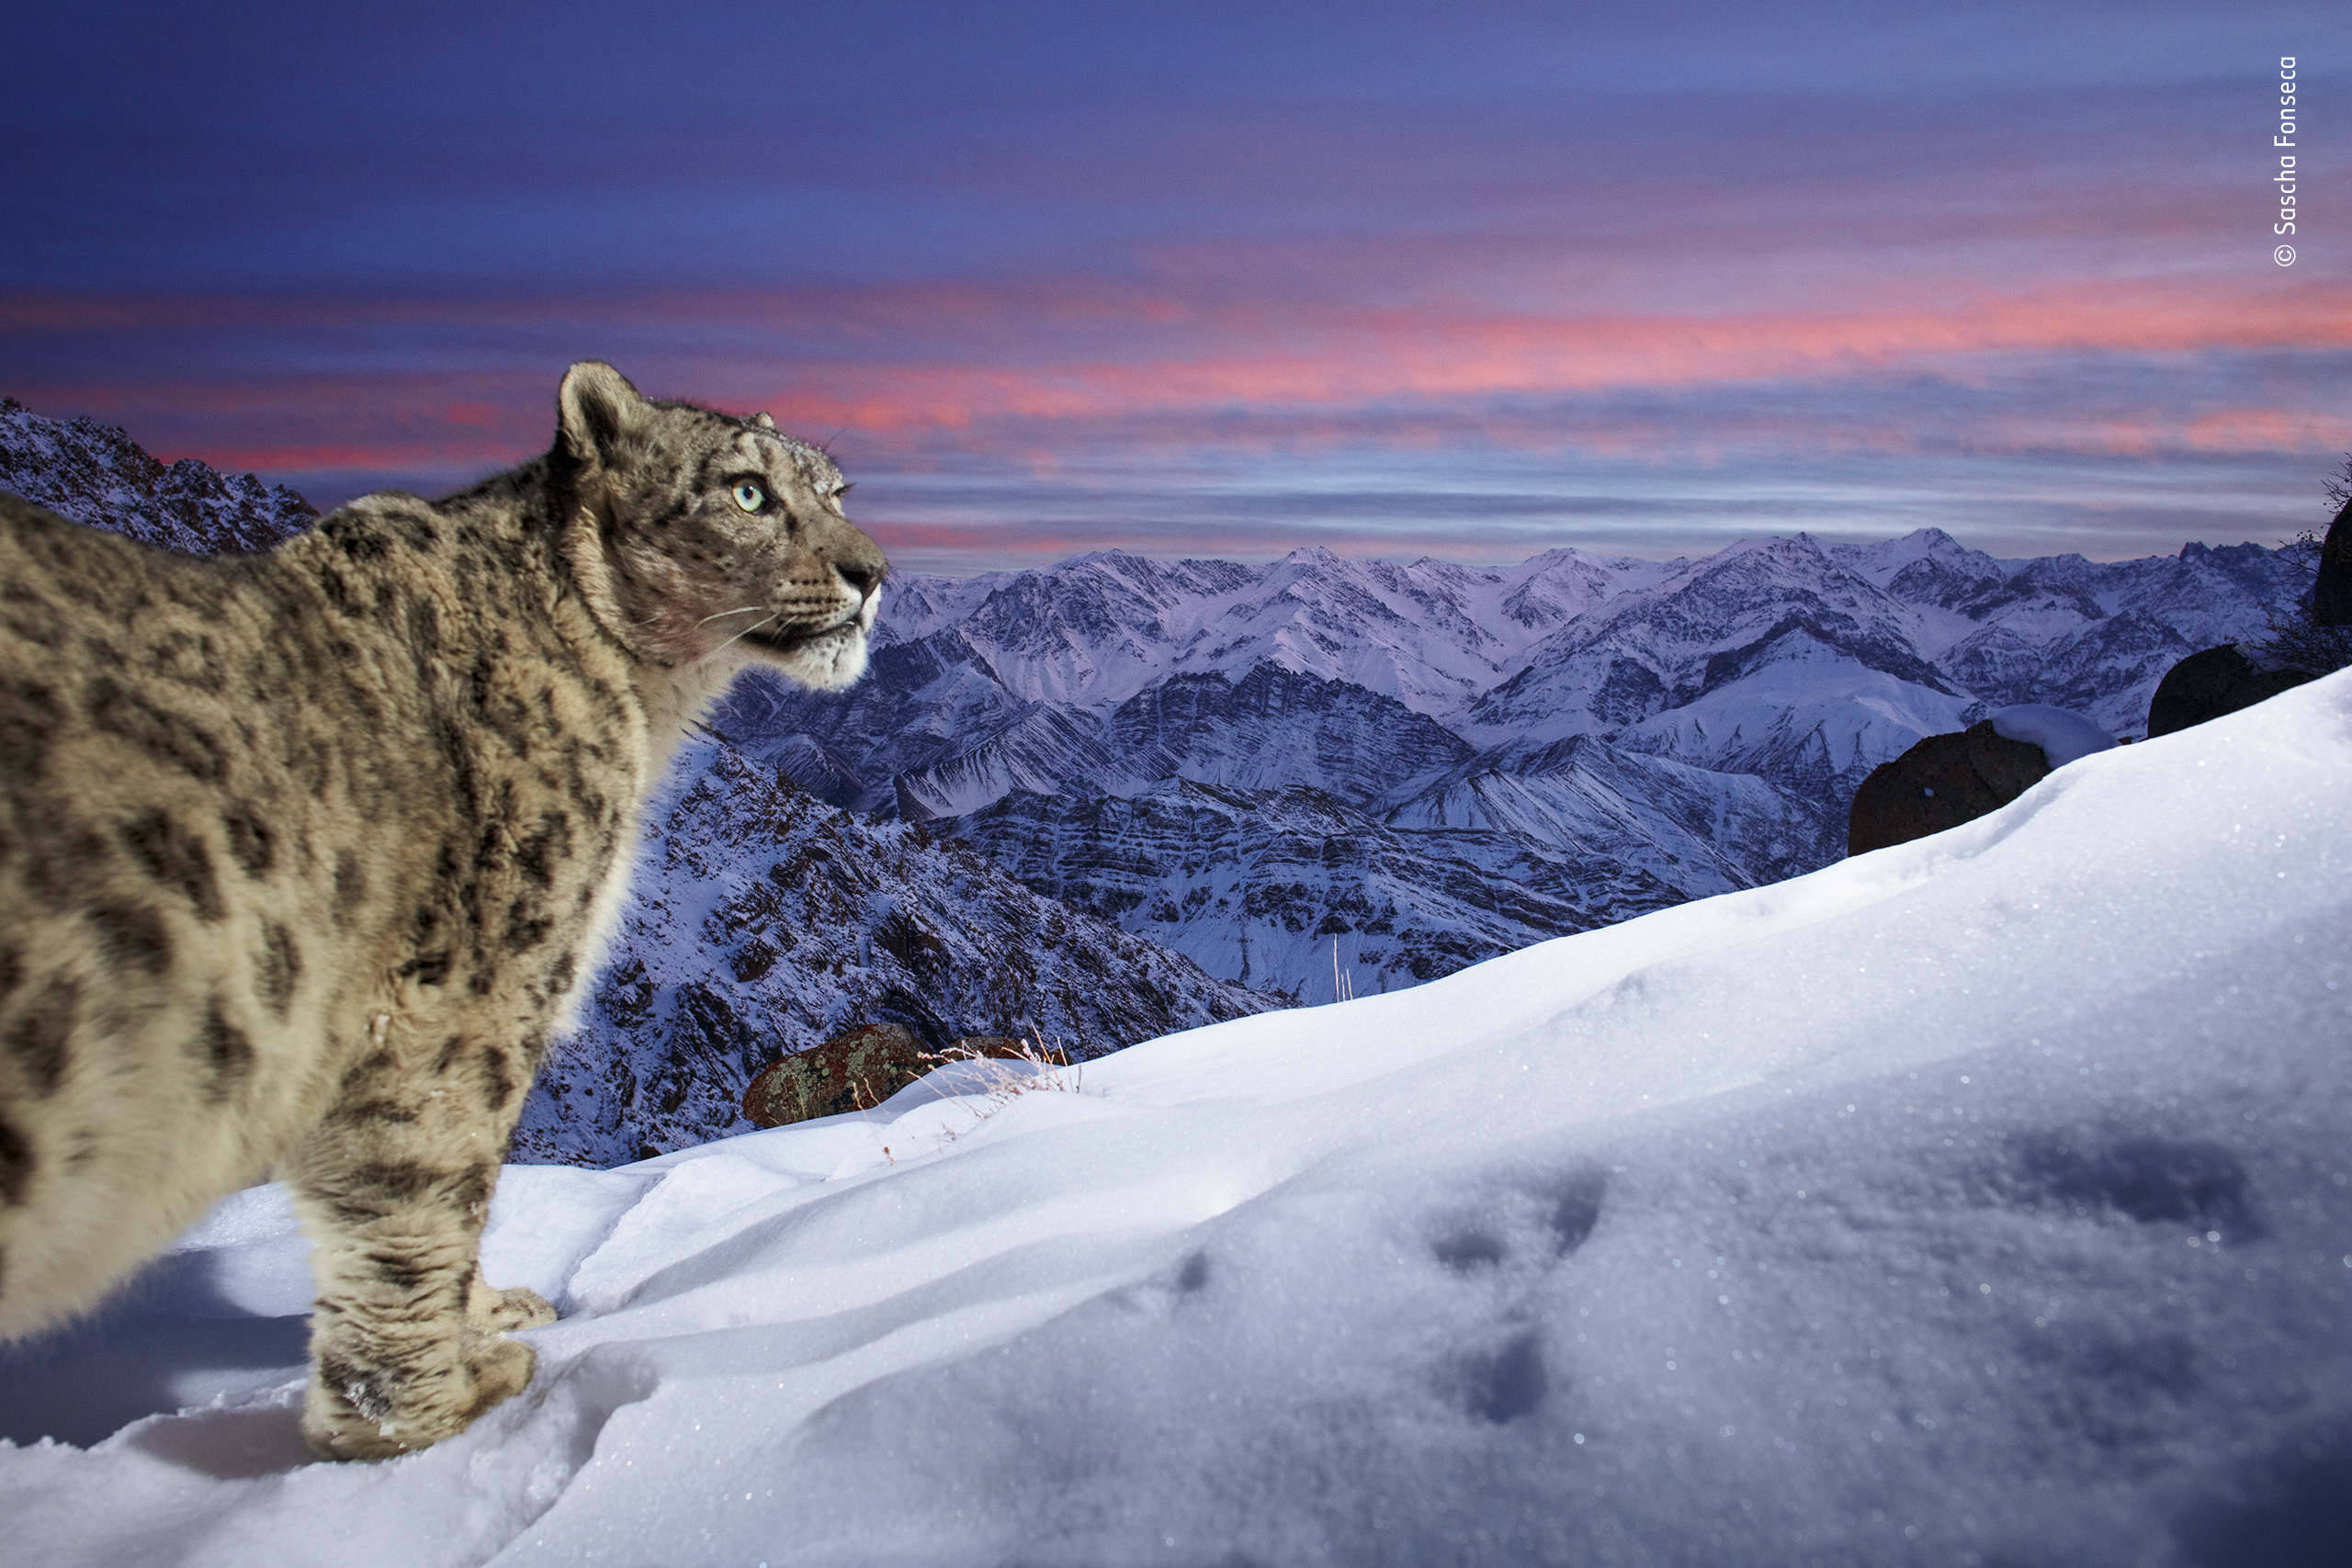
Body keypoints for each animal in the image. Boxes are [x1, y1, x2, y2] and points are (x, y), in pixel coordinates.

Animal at [0, 364, 884, 1457]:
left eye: (835, 490)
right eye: (748, 491)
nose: (872, 572)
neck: (647, 707)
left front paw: (488, 1318)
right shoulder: (469, 994)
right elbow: (425, 1193)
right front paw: (435, 1411)